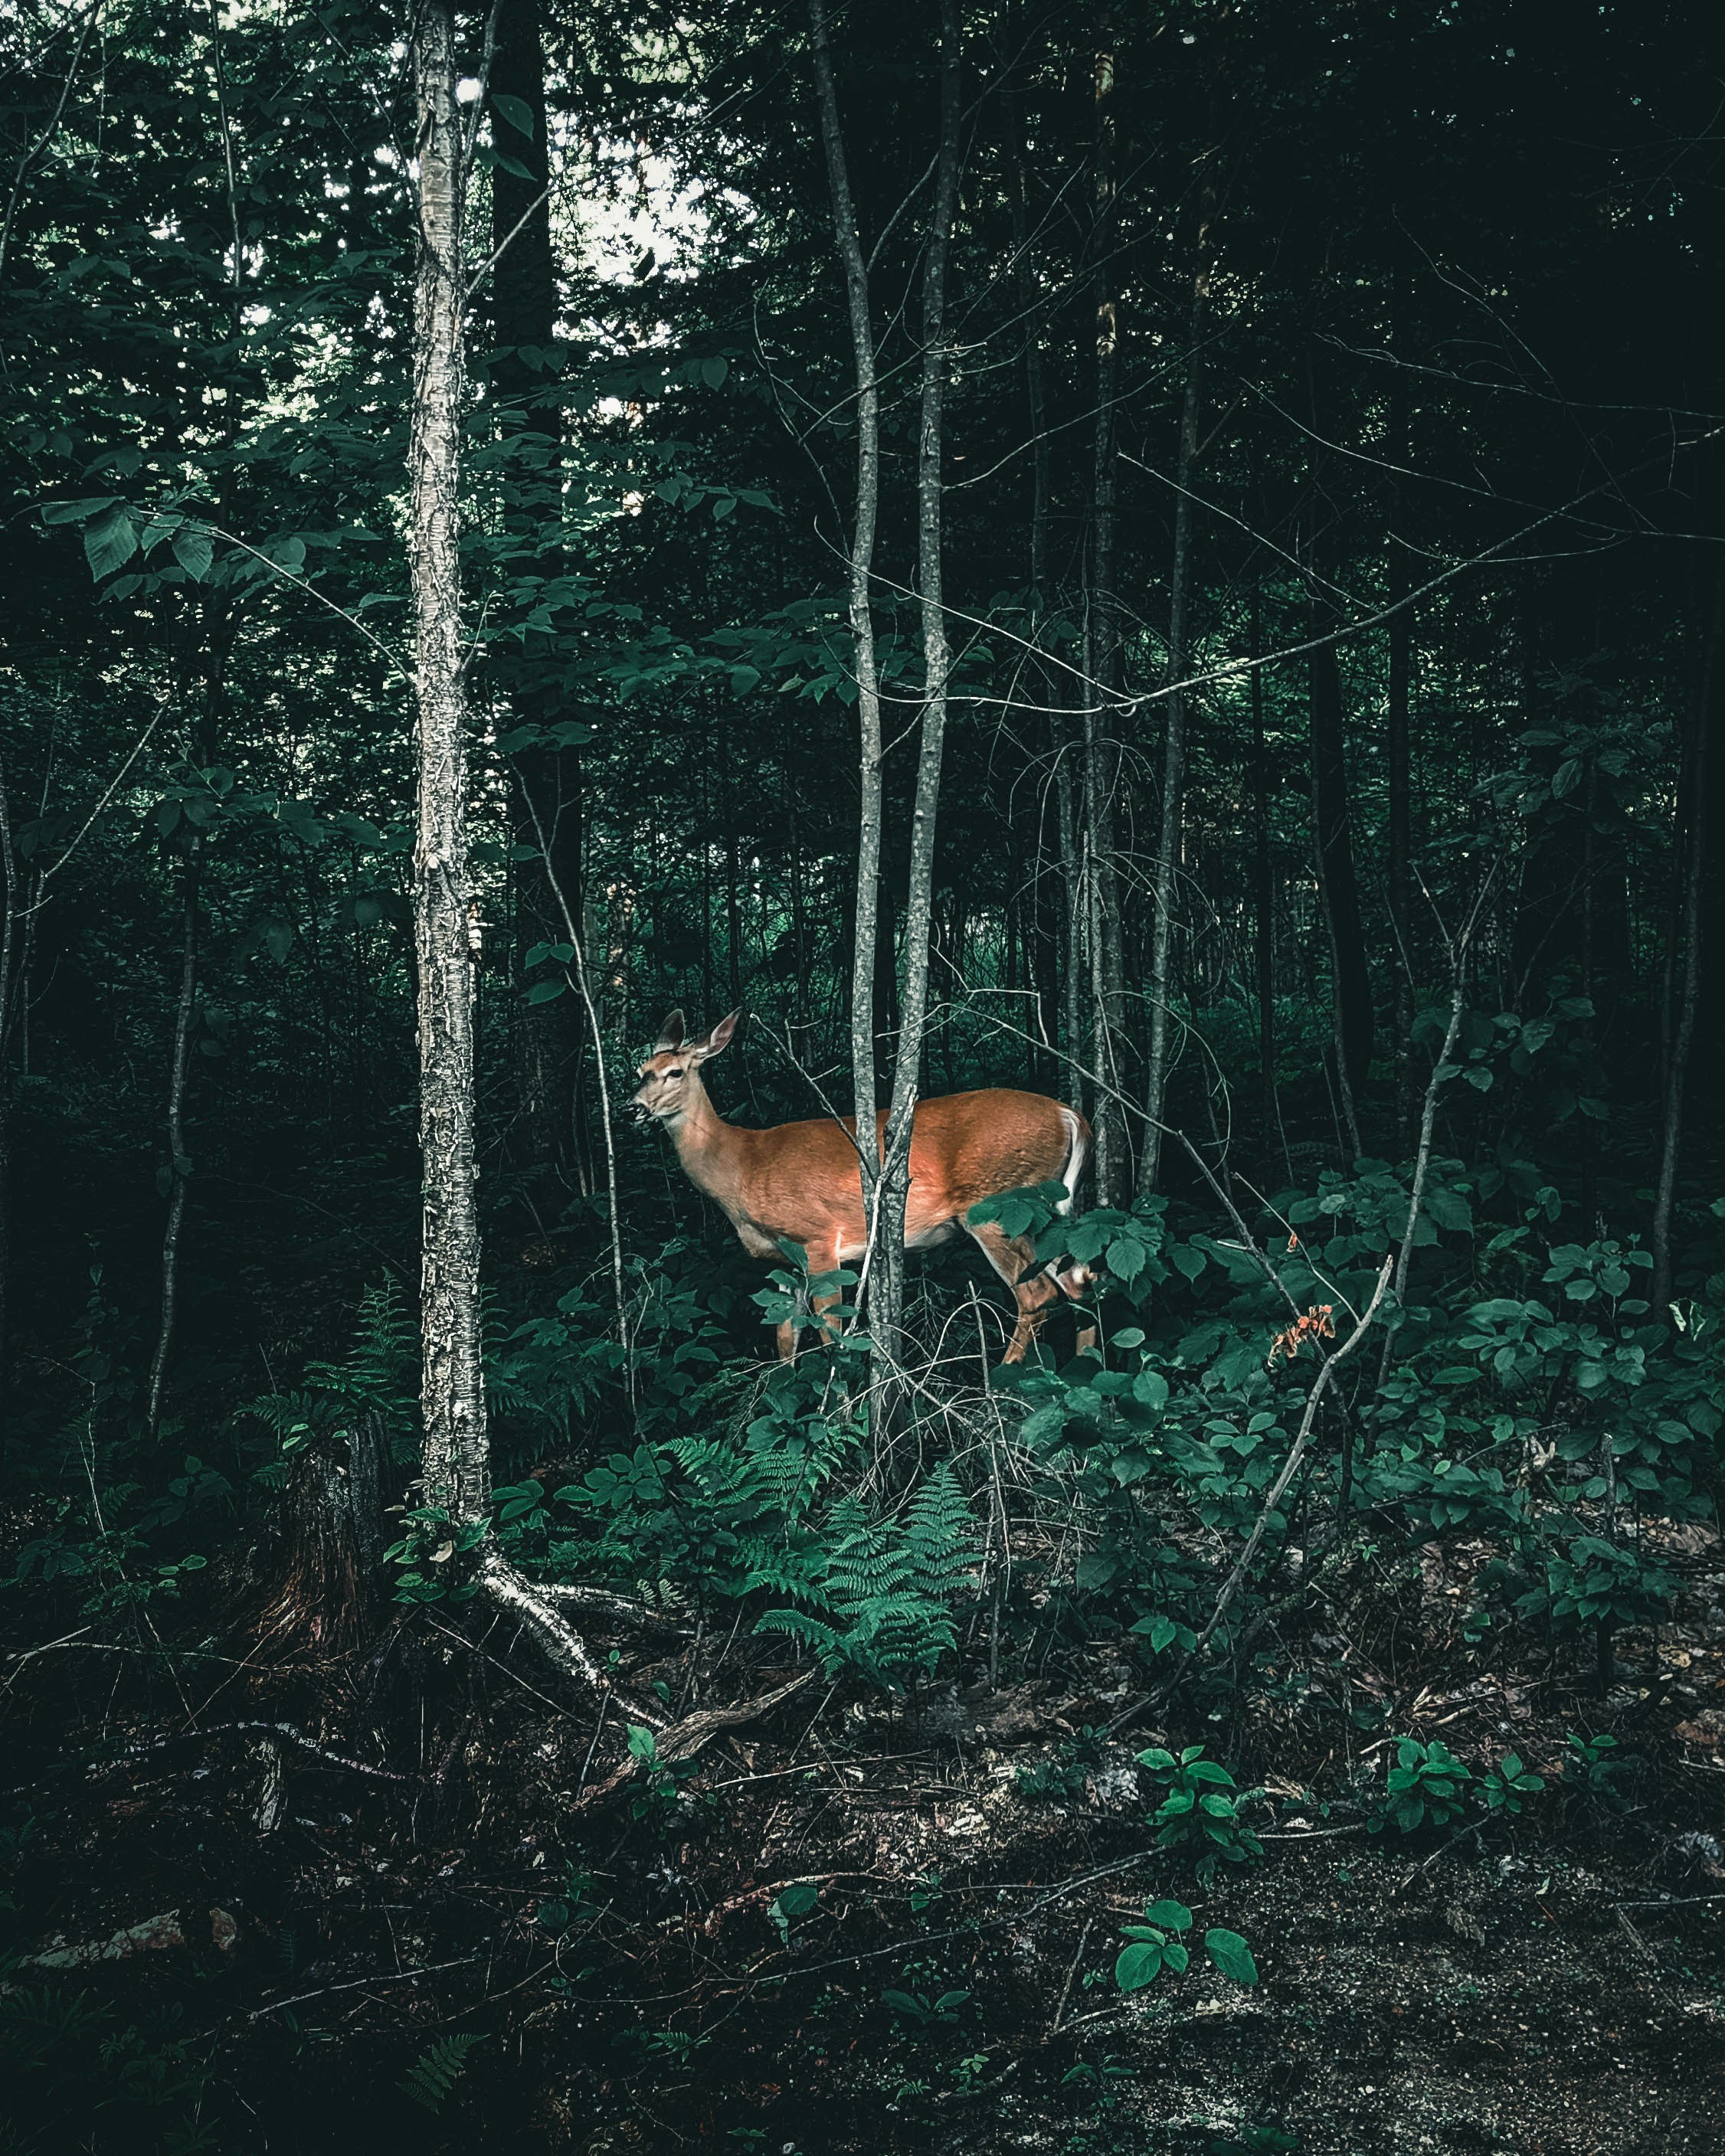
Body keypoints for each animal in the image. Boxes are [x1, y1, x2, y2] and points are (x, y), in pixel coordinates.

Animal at [630, 1010, 1095, 1363]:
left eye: (675, 1072)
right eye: (640, 1072)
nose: (635, 1107)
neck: (742, 1164)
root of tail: (1071, 1117)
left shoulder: (818, 1237)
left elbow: (830, 1333)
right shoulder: (783, 1259)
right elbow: (785, 1337)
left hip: (997, 1203)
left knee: (1037, 1295)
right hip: (1046, 1211)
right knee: (1080, 1279)